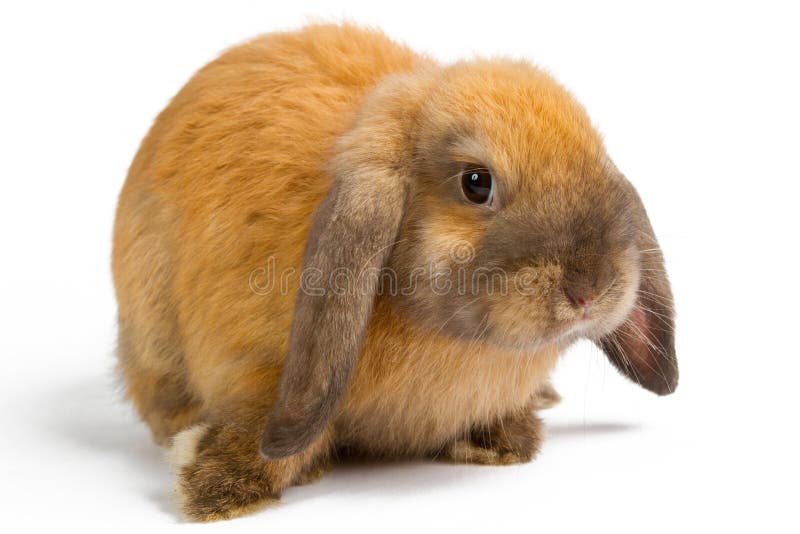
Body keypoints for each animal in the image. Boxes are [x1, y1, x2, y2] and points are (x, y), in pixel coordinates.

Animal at [112, 23, 677, 521]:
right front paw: (218, 487)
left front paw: (501, 440)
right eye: (477, 183)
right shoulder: (260, 372)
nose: (591, 290)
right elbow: (264, 429)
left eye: (595, 167)